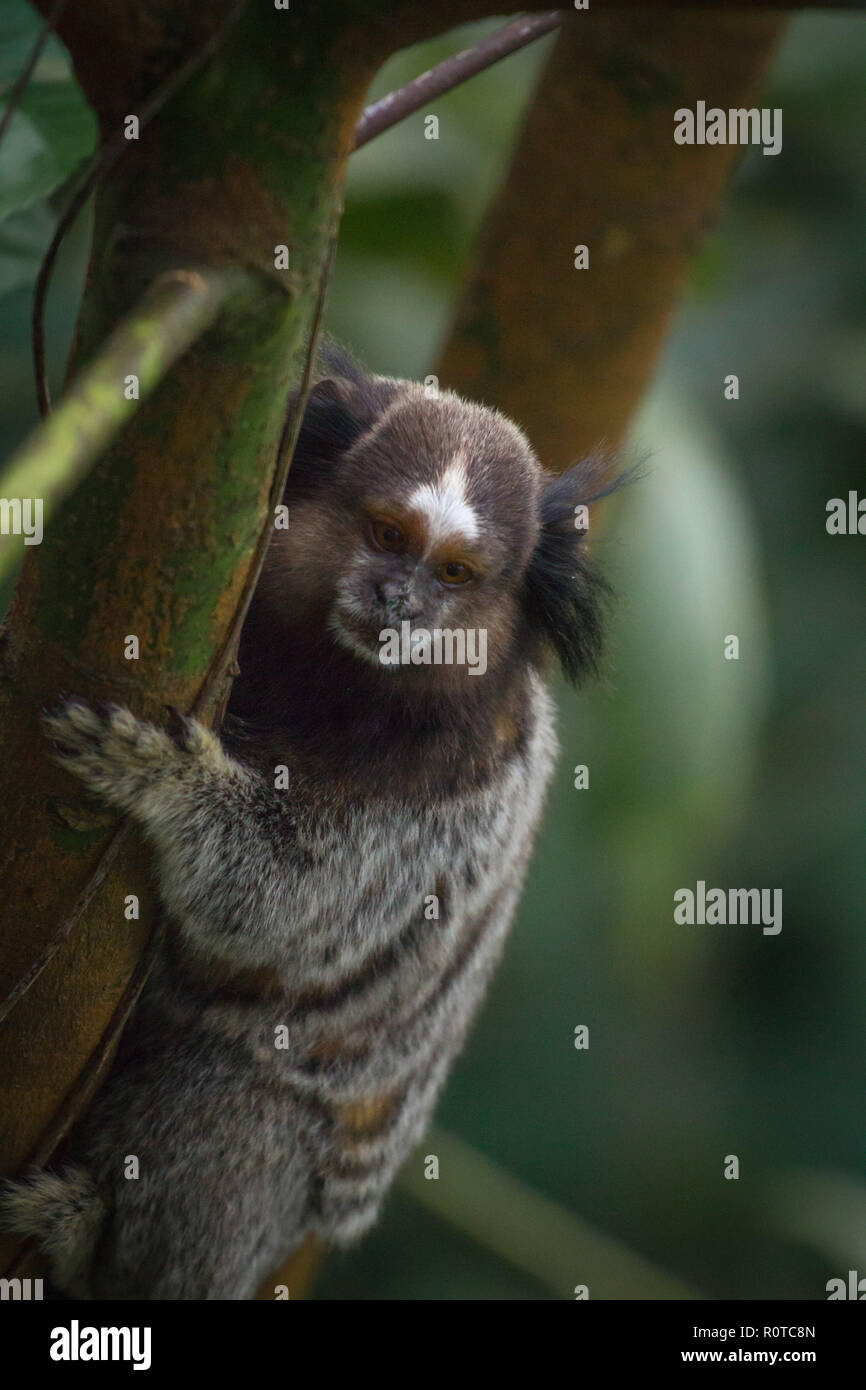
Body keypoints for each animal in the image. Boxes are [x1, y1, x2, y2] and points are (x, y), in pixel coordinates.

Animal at [0, 344, 614, 1299]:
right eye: (388, 535)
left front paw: (171, 782)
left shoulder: (457, 785)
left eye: (455, 574)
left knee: (227, 1104)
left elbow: (286, 908)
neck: (327, 678)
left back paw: (93, 1243)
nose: (398, 600)